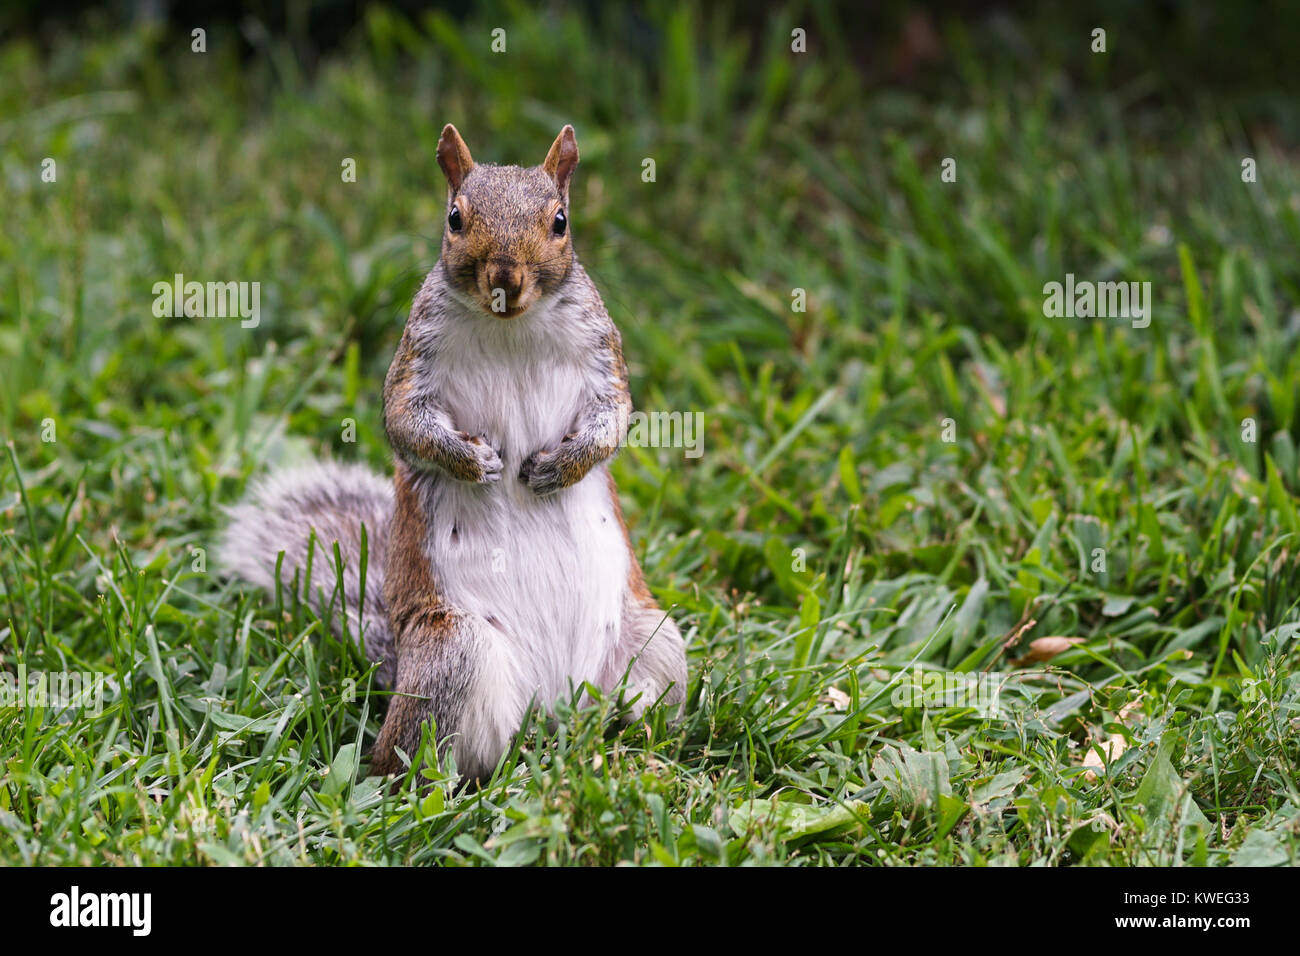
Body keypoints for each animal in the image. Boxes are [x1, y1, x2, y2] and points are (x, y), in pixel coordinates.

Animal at [220, 124, 688, 783]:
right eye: (455, 218)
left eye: (561, 221)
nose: (506, 278)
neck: (511, 325)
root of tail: (555, 705)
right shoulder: (415, 360)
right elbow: (406, 425)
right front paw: (475, 464)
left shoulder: (603, 355)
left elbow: (613, 420)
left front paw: (557, 466)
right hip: (453, 655)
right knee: (420, 762)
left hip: (656, 641)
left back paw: (627, 744)